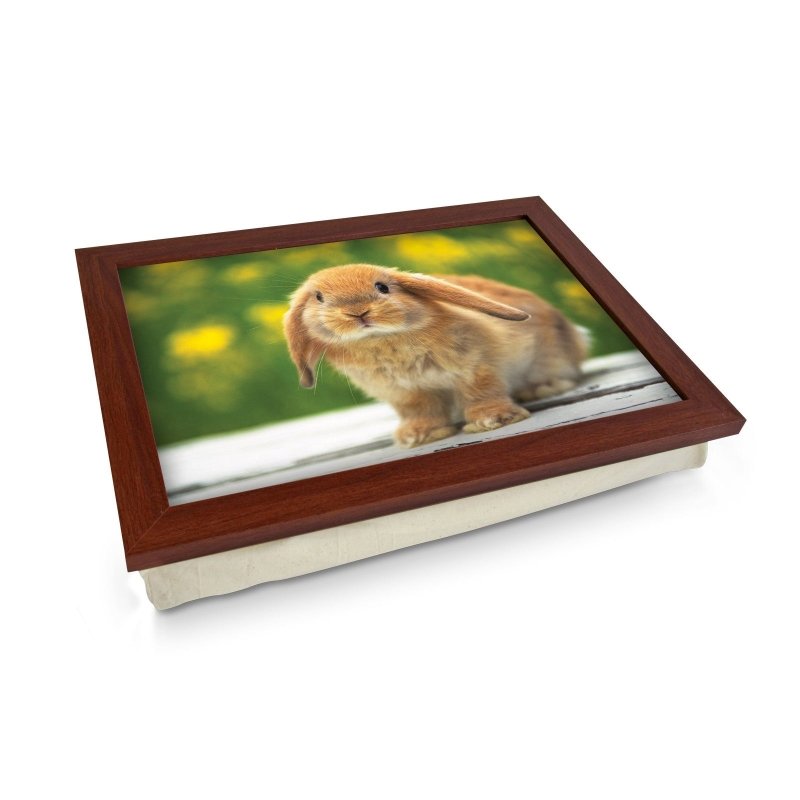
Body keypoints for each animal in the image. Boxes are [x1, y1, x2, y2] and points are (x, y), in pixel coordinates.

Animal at [283, 264, 587, 447]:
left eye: (382, 287)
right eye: (319, 297)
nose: (358, 312)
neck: (380, 339)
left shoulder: (474, 367)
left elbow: (482, 392)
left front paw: (493, 421)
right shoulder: (405, 393)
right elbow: (419, 410)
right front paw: (419, 436)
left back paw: (541, 389)